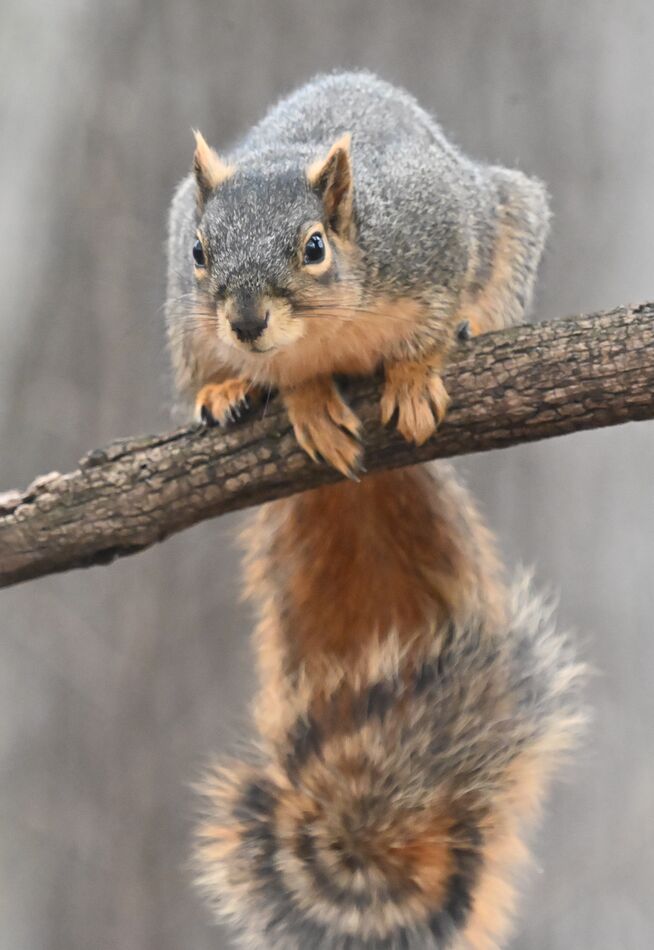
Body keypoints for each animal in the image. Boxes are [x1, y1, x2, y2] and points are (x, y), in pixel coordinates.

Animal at [166, 72, 584, 949]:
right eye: (200, 252)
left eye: (314, 247)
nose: (245, 322)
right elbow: (290, 380)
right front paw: (299, 397)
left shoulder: (439, 233)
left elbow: (430, 324)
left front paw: (418, 373)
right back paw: (226, 389)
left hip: (506, 214)